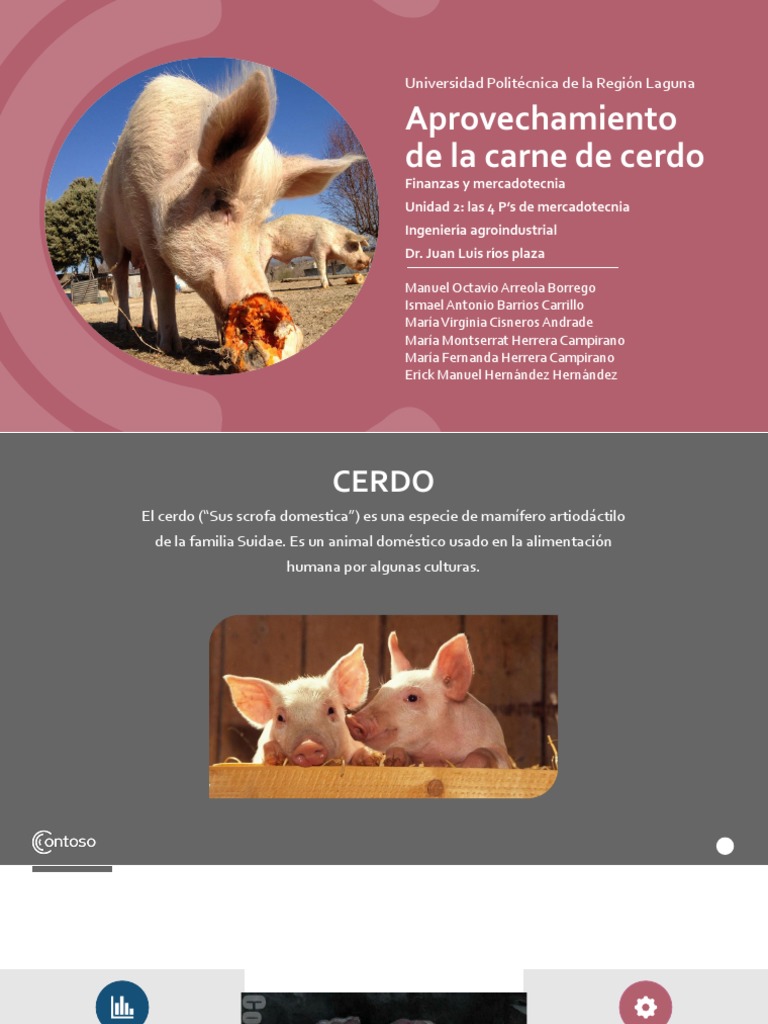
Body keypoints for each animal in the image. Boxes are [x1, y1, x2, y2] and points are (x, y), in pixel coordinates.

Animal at [97, 64, 364, 355]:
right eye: (219, 204)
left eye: (261, 220)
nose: (268, 306)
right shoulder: (144, 218)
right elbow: (164, 284)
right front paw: (171, 348)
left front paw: (222, 343)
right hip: (109, 238)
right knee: (122, 279)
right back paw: (126, 328)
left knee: (144, 284)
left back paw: (148, 326)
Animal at [347, 632, 513, 768]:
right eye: (381, 691)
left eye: (412, 697)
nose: (352, 719)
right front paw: (394, 759)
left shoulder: (499, 750)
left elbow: (483, 753)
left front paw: (466, 767)